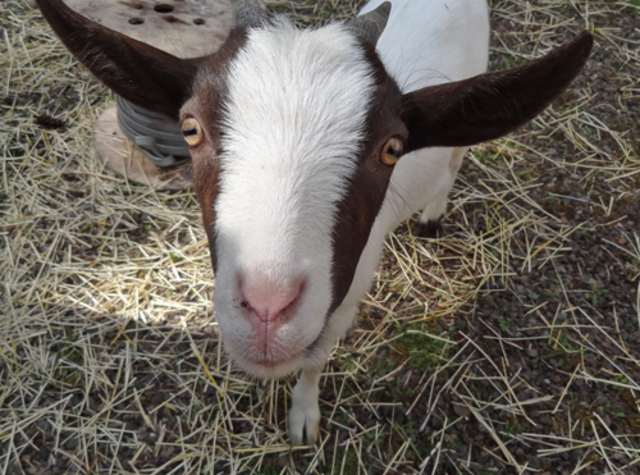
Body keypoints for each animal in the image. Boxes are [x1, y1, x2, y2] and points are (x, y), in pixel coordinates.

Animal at [36, 0, 593, 445]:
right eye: (190, 128)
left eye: (392, 148)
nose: (266, 310)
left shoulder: (344, 296)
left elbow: (316, 357)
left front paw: (303, 418)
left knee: (454, 161)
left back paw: (432, 218)